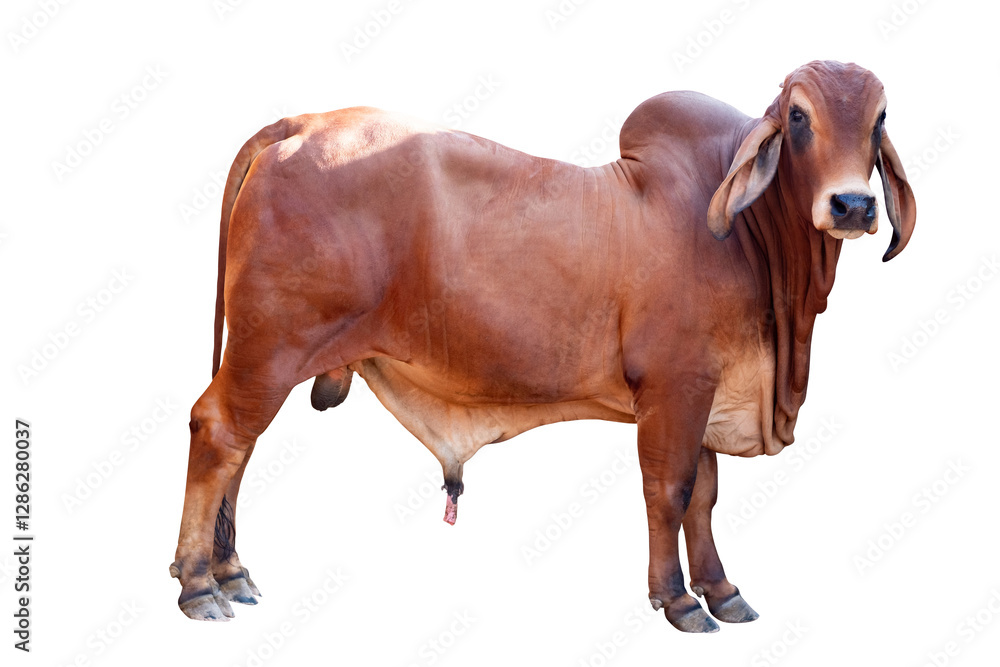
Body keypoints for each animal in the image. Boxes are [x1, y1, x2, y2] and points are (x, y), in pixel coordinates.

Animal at [170, 60, 915, 632]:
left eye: (879, 118)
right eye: (798, 117)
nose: (852, 206)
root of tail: (298, 124)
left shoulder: (710, 390)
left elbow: (702, 495)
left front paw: (723, 591)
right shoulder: (673, 388)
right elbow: (669, 490)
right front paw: (676, 599)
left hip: (268, 355)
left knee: (241, 447)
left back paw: (230, 572)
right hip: (272, 346)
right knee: (219, 431)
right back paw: (199, 585)